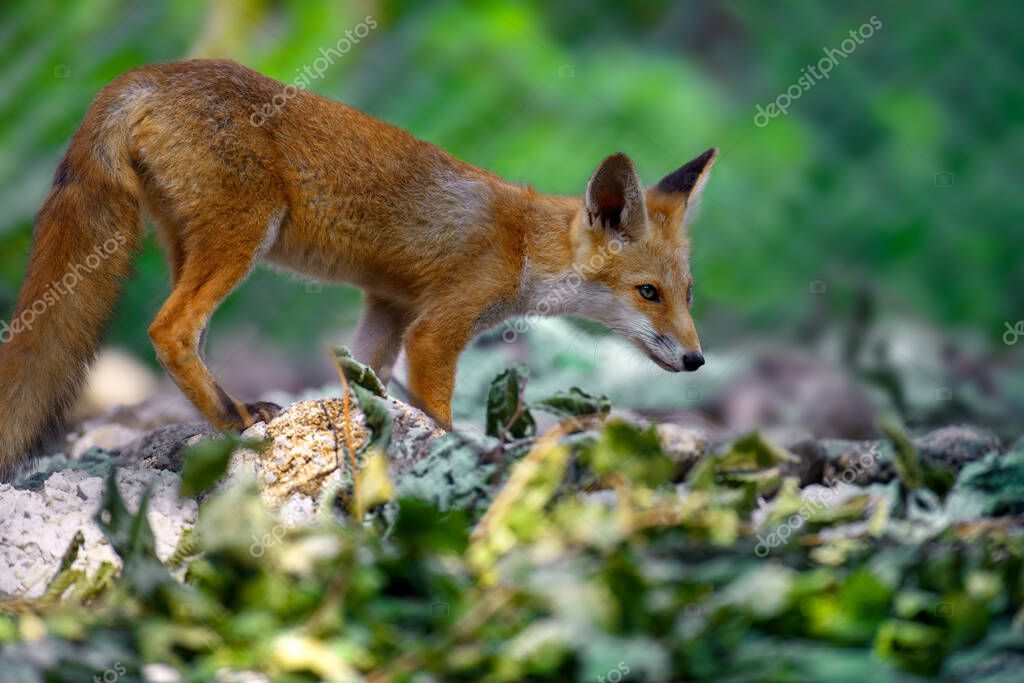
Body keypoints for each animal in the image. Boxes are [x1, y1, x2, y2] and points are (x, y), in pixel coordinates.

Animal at [0, 59, 716, 476]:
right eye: (648, 293)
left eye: (686, 293)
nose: (696, 360)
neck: (520, 246)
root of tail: (146, 74)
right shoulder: (436, 329)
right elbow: (436, 412)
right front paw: (454, 454)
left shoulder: (387, 310)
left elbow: (361, 384)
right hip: (240, 240)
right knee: (170, 329)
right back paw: (236, 421)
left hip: (191, 244)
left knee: (189, 336)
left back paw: (226, 416)